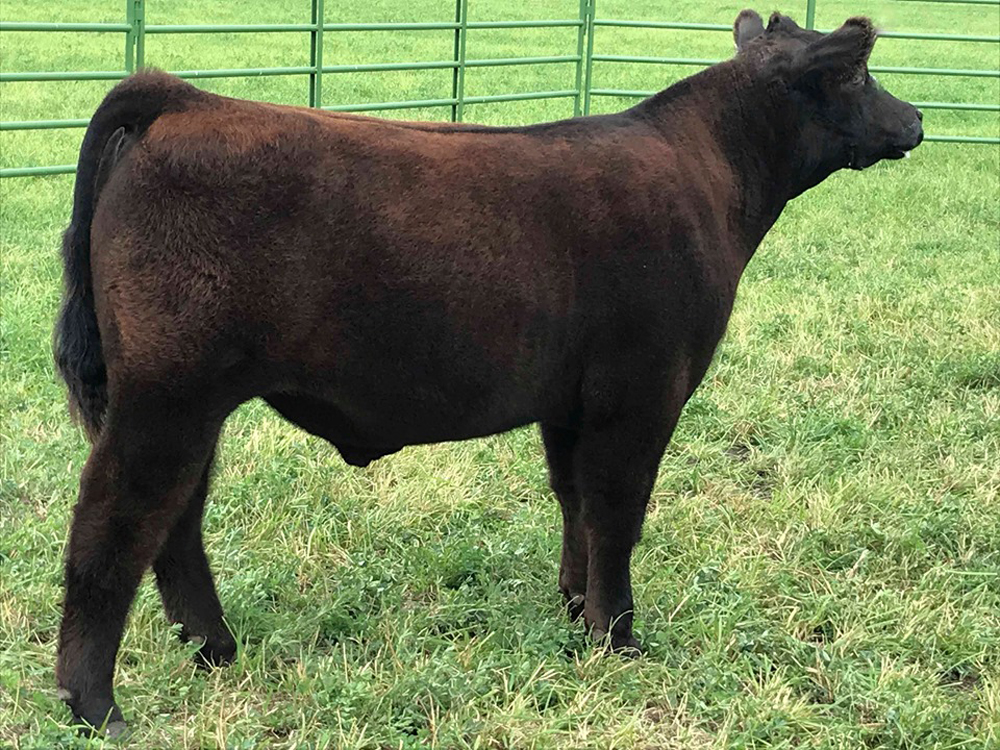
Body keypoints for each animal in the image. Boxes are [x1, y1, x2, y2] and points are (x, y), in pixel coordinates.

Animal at [53, 10, 922, 734]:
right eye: (857, 72)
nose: (915, 117)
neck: (710, 175)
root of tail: (185, 100)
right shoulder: (644, 387)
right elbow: (619, 509)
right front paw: (620, 636)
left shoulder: (571, 401)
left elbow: (575, 501)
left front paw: (576, 609)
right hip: (166, 396)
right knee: (116, 523)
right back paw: (96, 706)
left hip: (187, 402)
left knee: (176, 520)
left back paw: (214, 647)